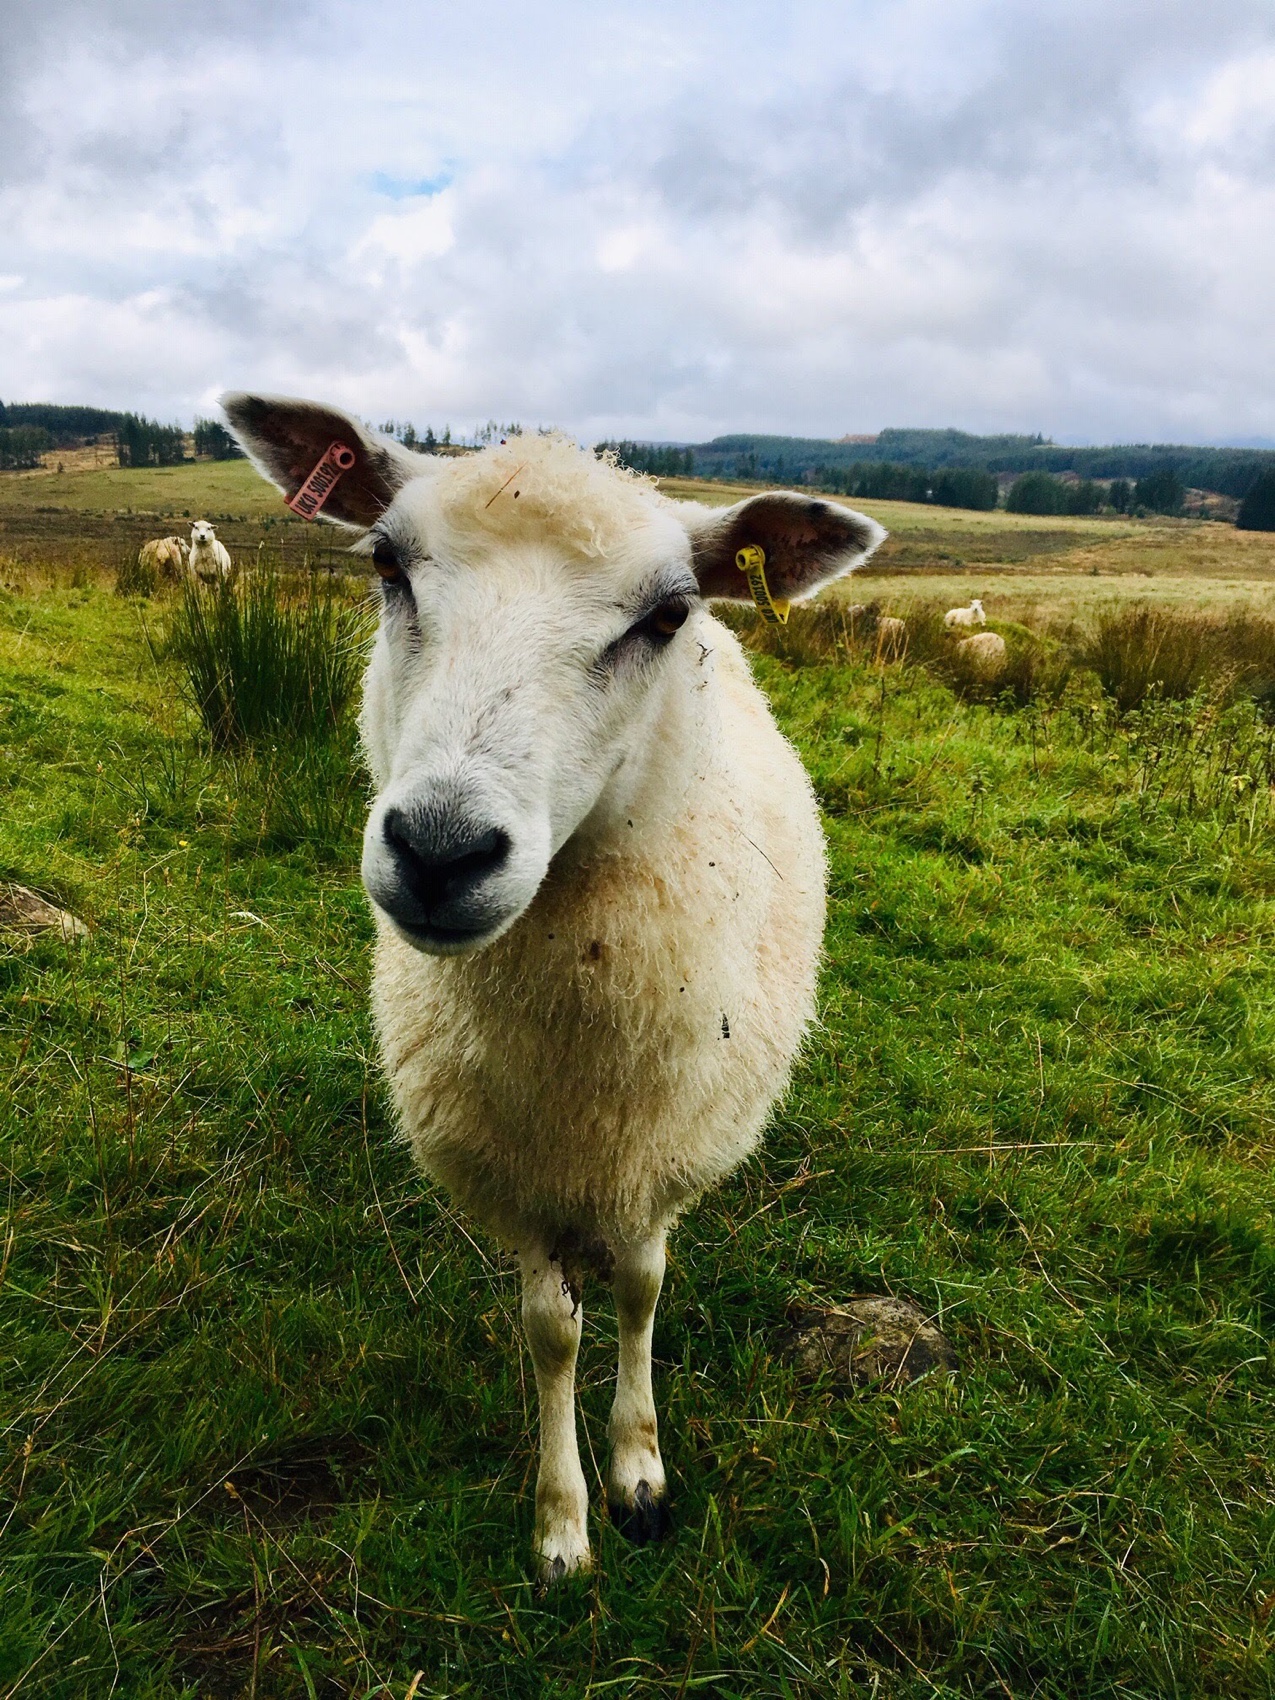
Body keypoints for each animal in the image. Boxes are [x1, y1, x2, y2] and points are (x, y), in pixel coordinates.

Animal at [223, 390, 886, 1583]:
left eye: (668, 615)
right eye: (385, 562)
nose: (440, 850)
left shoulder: (658, 1153)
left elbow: (640, 1290)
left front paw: (639, 1471)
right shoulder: (514, 1172)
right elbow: (551, 1331)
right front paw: (563, 1522)